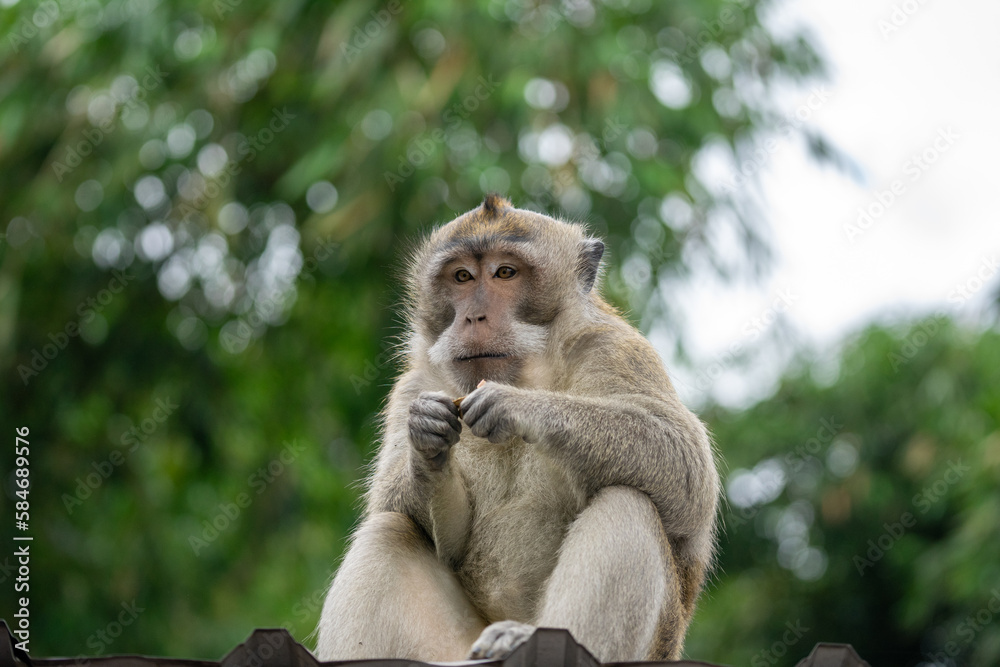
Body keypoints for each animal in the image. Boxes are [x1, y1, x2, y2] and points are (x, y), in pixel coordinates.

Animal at [315, 194, 719, 663]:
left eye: (505, 272)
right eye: (462, 276)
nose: (474, 316)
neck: (531, 369)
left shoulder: (615, 349)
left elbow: (685, 466)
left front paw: (515, 405)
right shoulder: (412, 386)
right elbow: (415, 518)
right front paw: (426, 444)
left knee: (628, 501)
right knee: (389, 529)